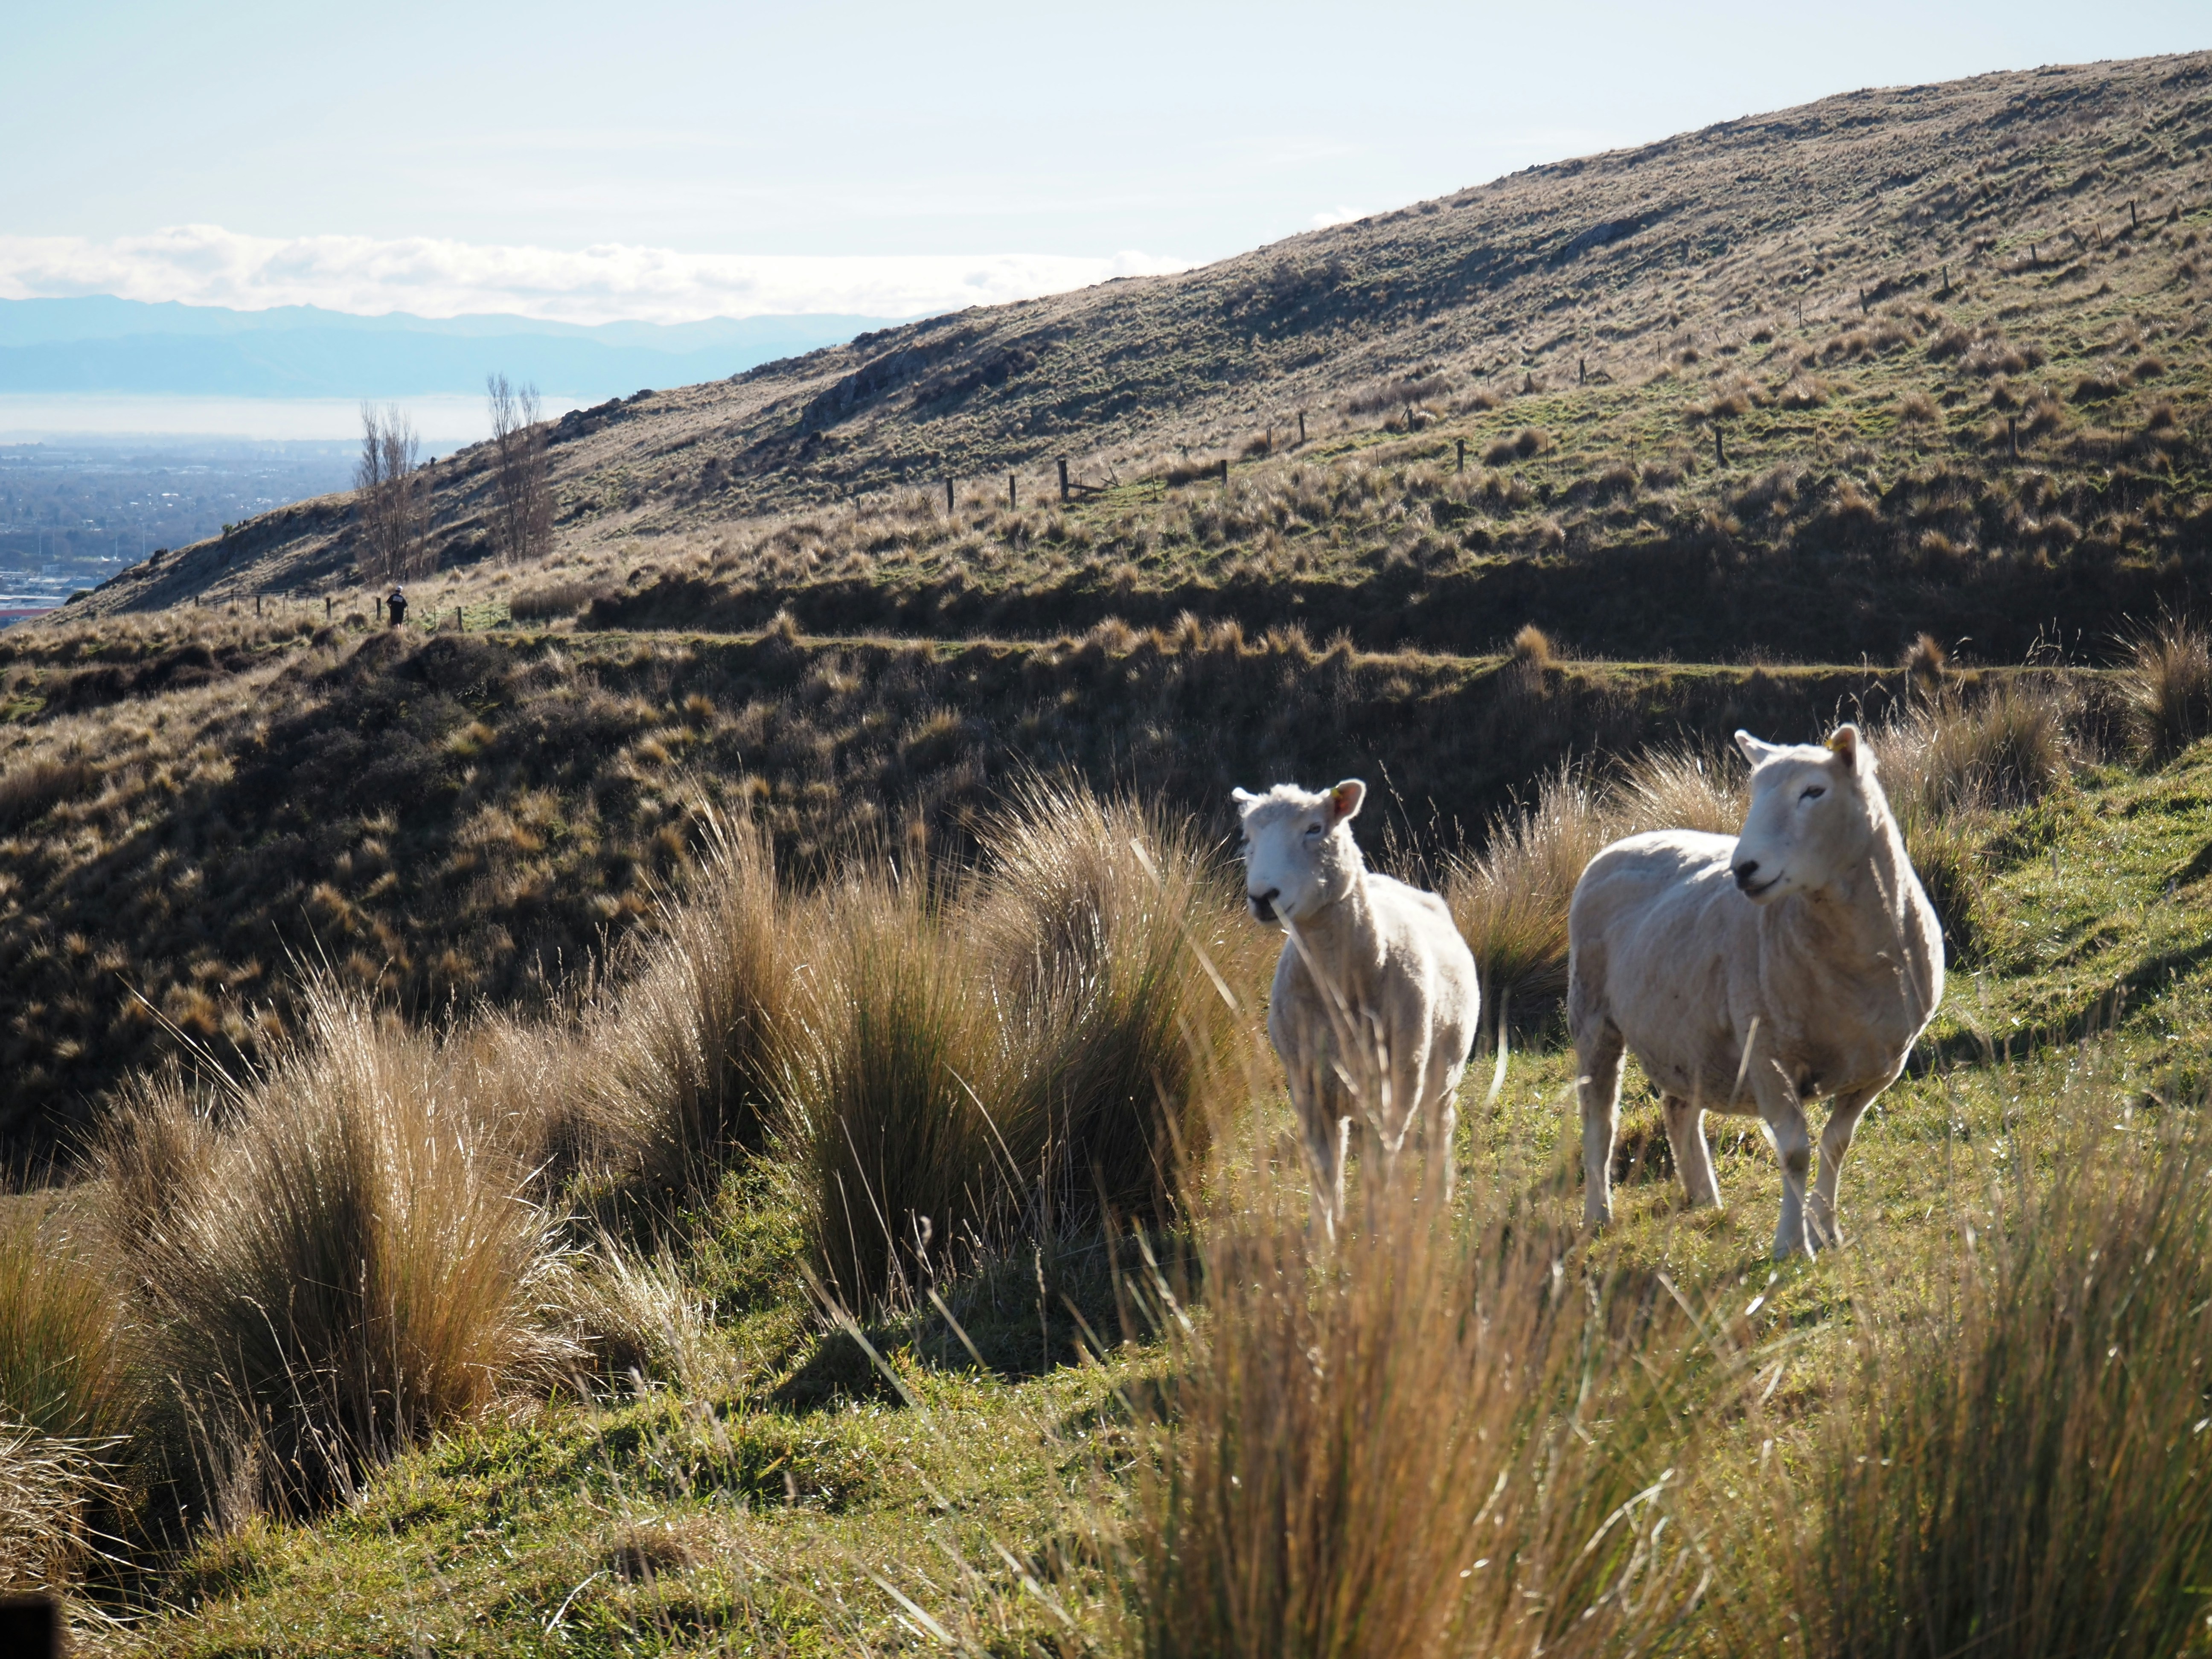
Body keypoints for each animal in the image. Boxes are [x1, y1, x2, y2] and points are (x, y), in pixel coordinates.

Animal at [1234, 779, 1482, 1228]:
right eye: (1247, 838)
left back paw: (1439, 1197)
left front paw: (1375, 1231)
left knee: (1441, 1125)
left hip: (1442, 1067)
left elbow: (1379, 1167)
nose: (1263, 897)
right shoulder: (1307, 1087)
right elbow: (1324, 1168)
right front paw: (1323, 1236)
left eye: (1315, 828)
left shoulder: (1397, 1087)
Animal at [1567, 724, 1943, 1257]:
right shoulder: (1766, 1056)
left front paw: (1826, 1230)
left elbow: (1836, 1146)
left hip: (1685, 1034)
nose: (1743, 869)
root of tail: (1623, 842)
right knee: (1599, 1121)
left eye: (1814, 791)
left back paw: (1704, 1198)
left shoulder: (1881, 1068)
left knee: (1678, 1108)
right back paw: (1599, 1214)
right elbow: (1795, 1153)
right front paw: (1791, 1244)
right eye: (1754, 792)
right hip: (1593, 1016)